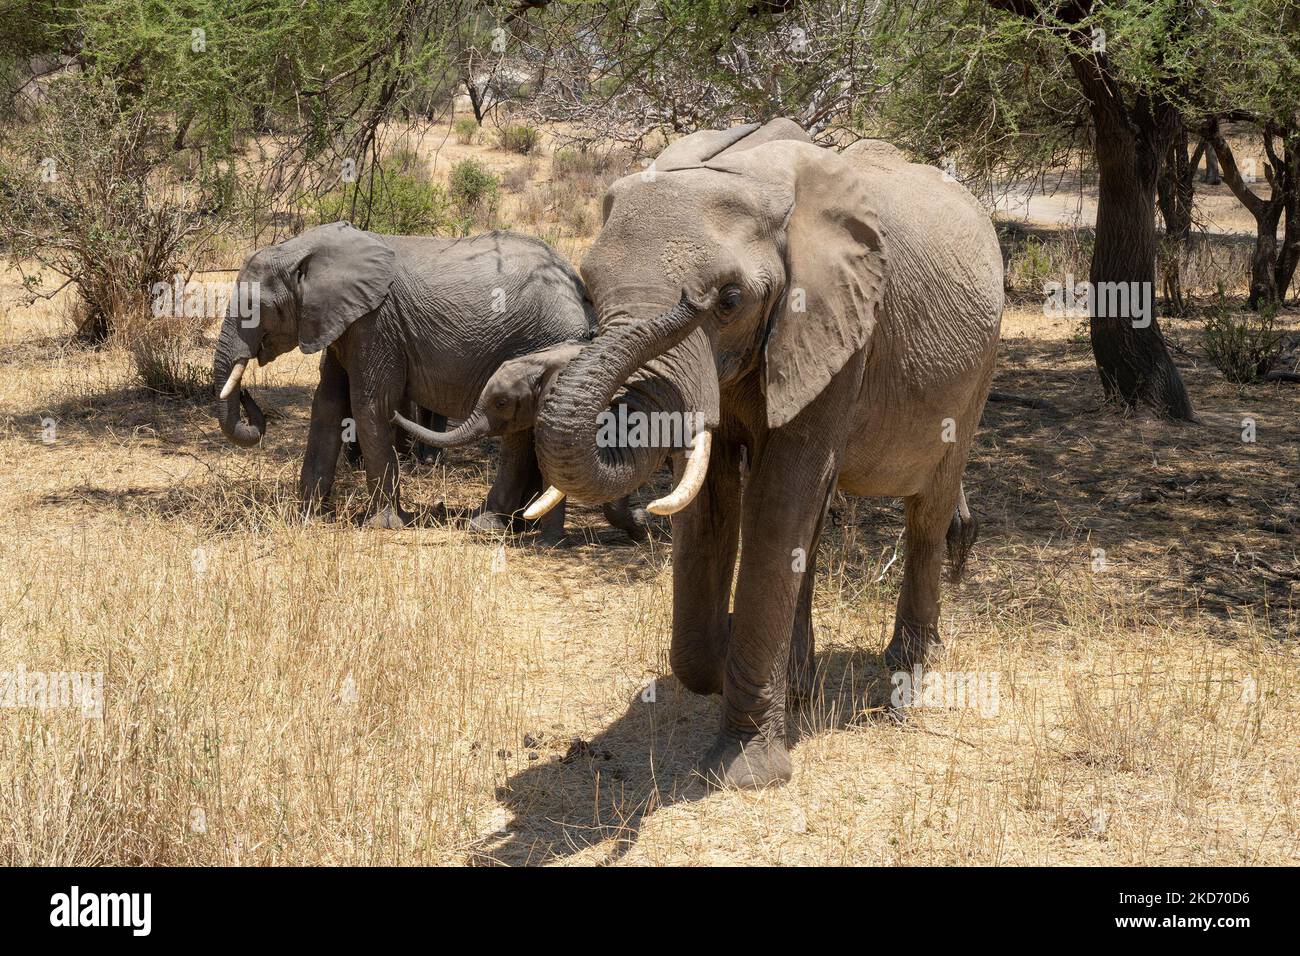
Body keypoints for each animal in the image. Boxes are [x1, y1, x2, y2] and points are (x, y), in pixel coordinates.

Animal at [212, 221, 650, 541]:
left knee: (517, 433)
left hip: (543, 337)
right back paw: (516, 523)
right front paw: (308, 516)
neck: (305, 248)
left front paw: (383, 526)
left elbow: (369, 404)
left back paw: (489, 525)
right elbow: (329, 404)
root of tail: (579, 289)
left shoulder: (377, 323)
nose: (247, 394)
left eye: (253, 309)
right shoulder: (342, 323)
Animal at [523, 119, 1003, 789]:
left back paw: (908, 667)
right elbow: (710, 499)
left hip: (978, 367)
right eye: (588, 289)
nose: (687, 301)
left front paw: (745, 772)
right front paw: (723, 662)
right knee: (819, 523)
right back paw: (799, 681)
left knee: (927, 511)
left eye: (728, 300)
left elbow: (777, 504)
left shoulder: (839, 326)